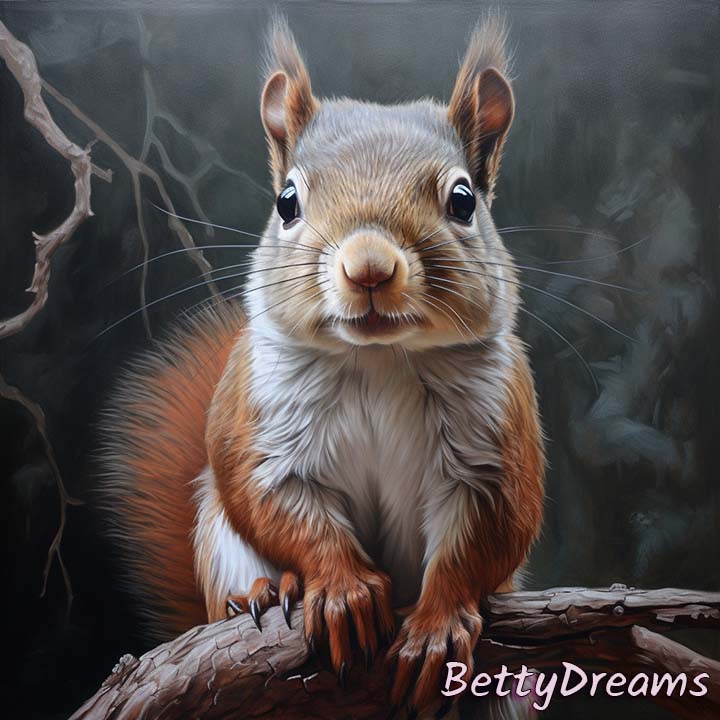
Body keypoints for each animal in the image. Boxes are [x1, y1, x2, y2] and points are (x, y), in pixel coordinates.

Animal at [99, 15, 544, 715]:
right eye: (287, 202)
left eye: (463, 201)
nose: (369, 266)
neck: (379, 359)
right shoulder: (261, 423)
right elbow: (275, 502)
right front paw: (342, 589)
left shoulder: (496, 435)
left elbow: (484, 536)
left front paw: (439, 624)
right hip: (218, 537)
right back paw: (263, 592)